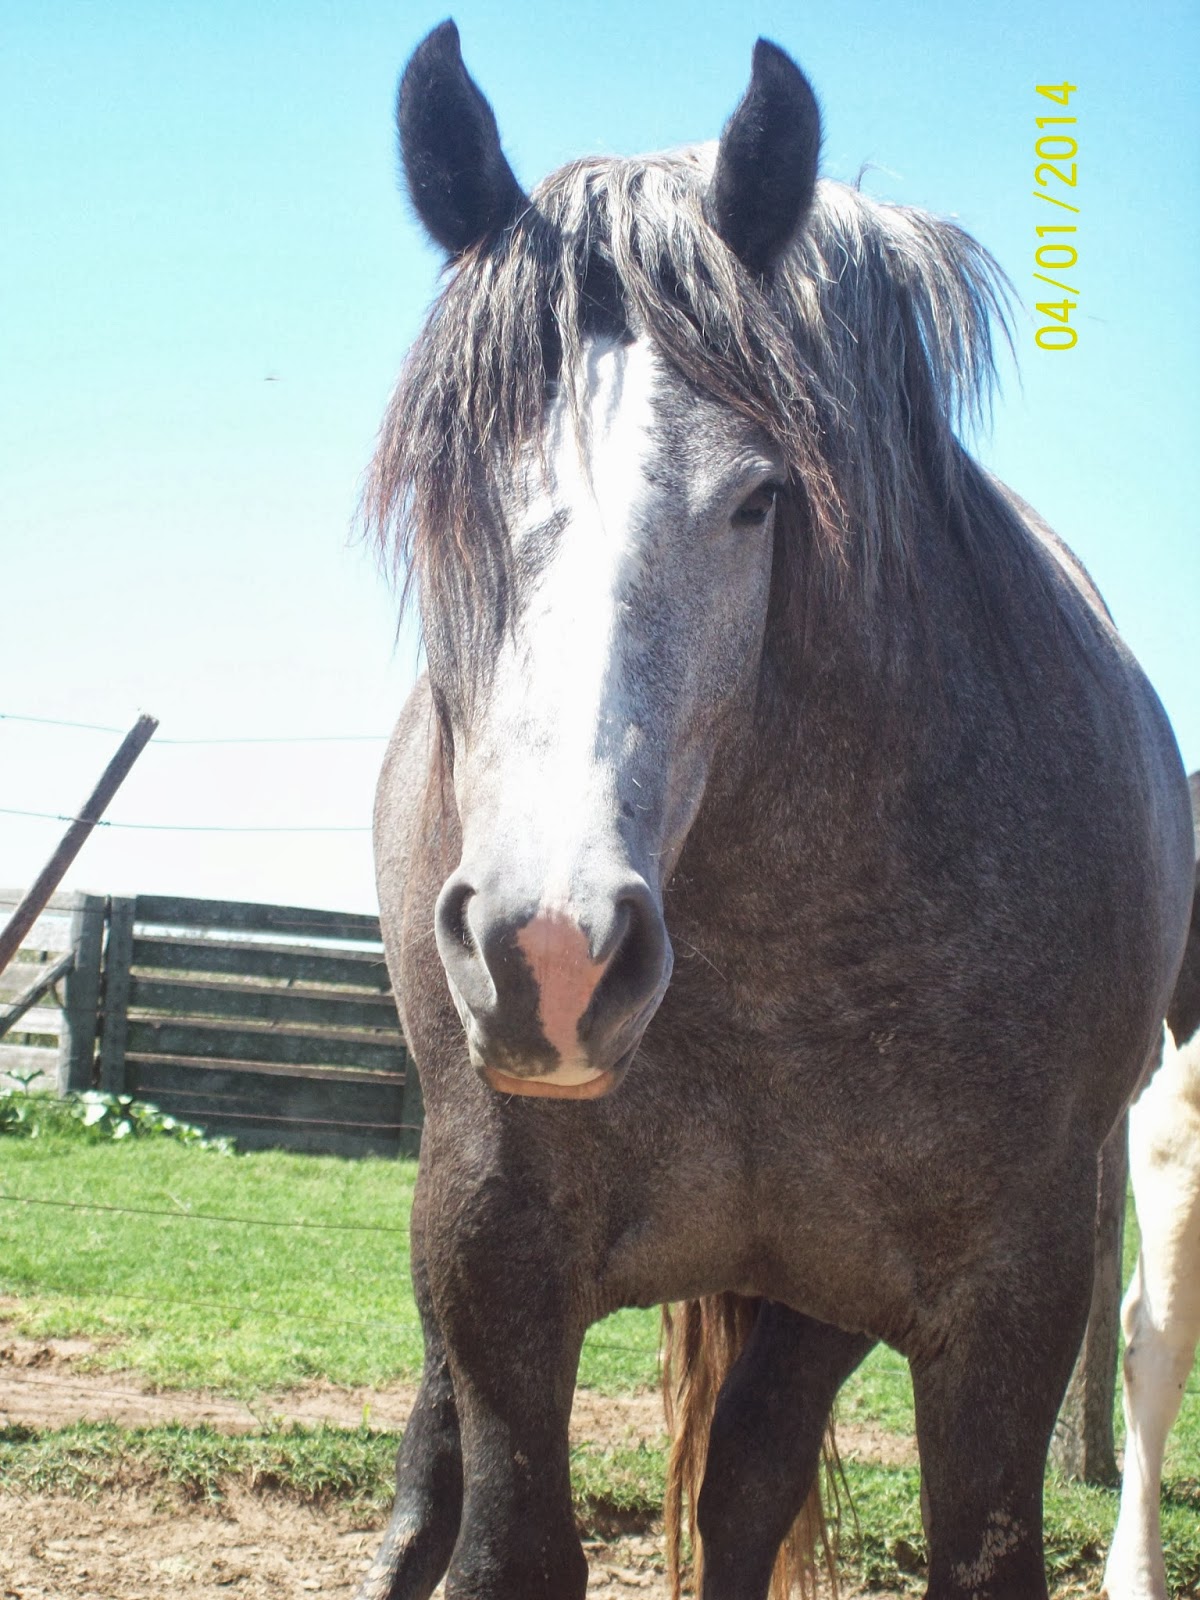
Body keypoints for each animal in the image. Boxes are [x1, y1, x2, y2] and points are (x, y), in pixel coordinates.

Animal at [359, 22, 1194, 1600]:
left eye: (756, 500)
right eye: (449, 489)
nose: (549, 956)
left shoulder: (1007, 1300)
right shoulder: (492, 1254)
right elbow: (501, 1543)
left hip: (820, 1298)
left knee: (748, 1474)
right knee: (429, 1487)